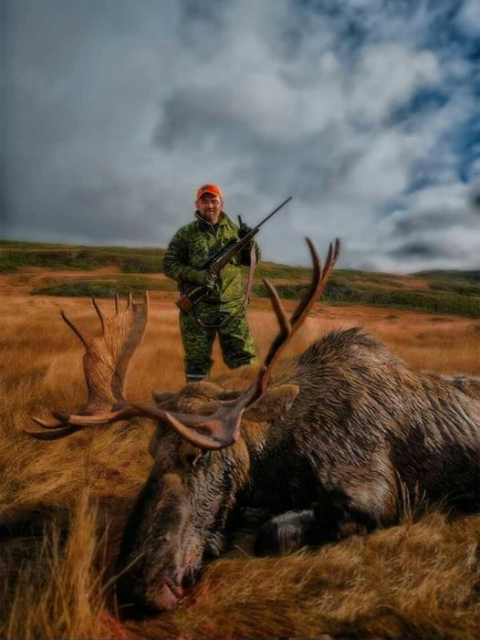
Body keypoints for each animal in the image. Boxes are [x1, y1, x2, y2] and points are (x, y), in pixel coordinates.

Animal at [25, 239, 480, 614]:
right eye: (151, 451)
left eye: (202, 453)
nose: (138, 588)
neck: (282, 460)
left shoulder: (374, 494)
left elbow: (272, 532)